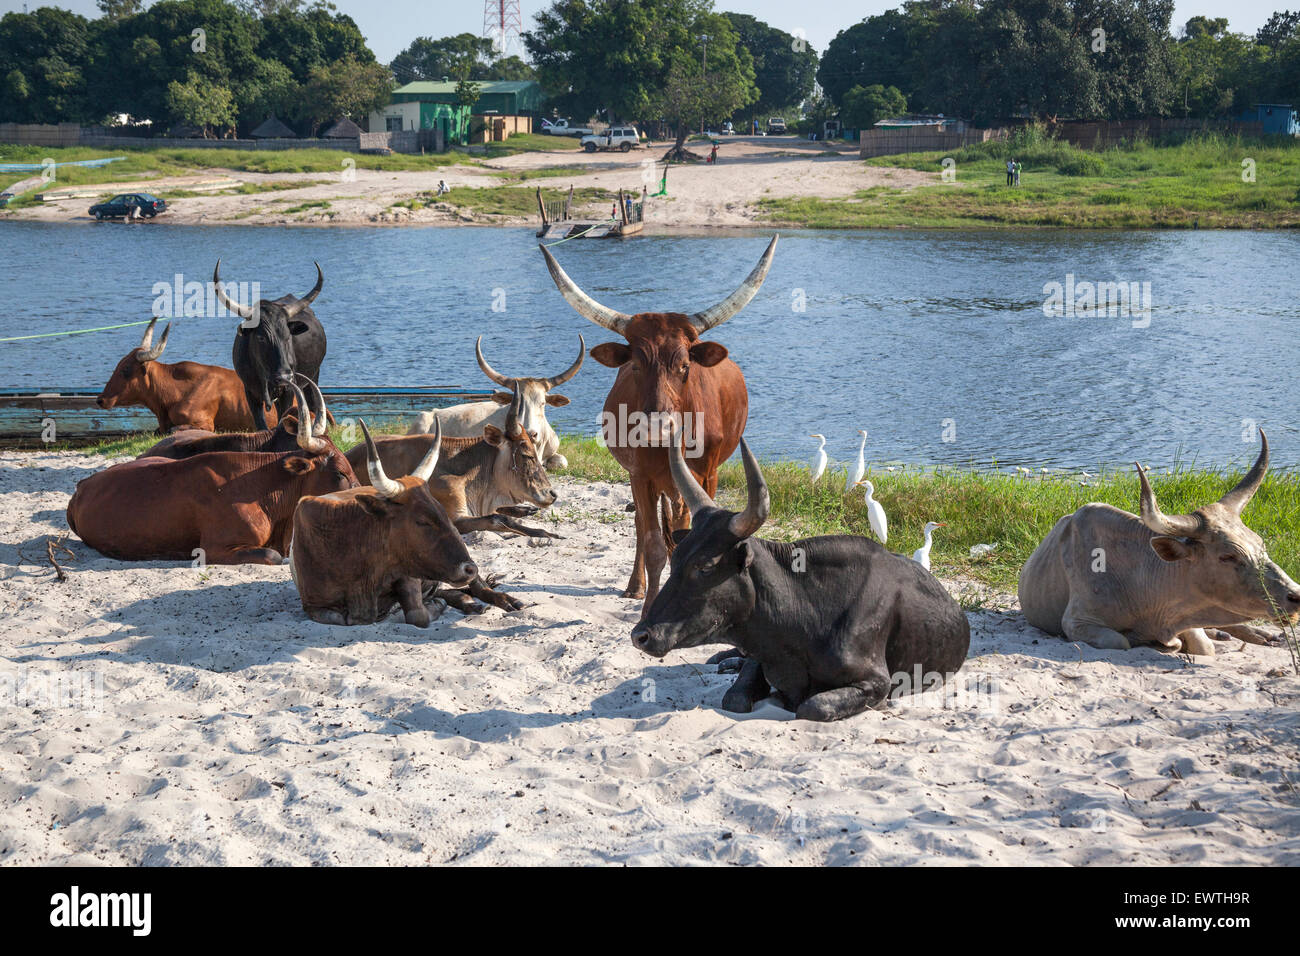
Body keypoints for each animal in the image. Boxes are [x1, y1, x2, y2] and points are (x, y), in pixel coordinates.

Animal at [213, 259, 328, 430]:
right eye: (261, 337)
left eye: (288, 336)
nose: (284, 376)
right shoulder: (250, 391)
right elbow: (260, 423)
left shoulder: (288, 390)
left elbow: (283, 416)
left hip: (313, 376)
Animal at [290, 421, 479, 627]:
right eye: (422, 521)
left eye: (443, 511)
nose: (470, 568)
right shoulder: (314, 606)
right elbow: (340, 618)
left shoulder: (408, 573)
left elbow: (417, 615)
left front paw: (434, 604)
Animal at [539, 236, 777, 609]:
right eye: (636, 364)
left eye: (685, 366)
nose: (657, 426)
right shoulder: (641, 476)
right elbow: (653, 545)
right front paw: (648, 607)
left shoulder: (706, 475)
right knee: (641, 524)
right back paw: (635, 587)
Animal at [630, 430, 971, 722]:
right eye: (676, 558)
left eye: (705, 566)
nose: (641, 635)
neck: (807, 614)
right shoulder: (759, 655)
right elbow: (735, 697)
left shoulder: (877, 683)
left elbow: (813, 706)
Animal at [1018, 431, 1300, 657]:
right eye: (1228, 556)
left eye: (1261, 545)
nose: (1295, 596)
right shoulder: (1076, 621)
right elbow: (1121, 641)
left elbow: (1203, 646)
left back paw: (1259, 635)